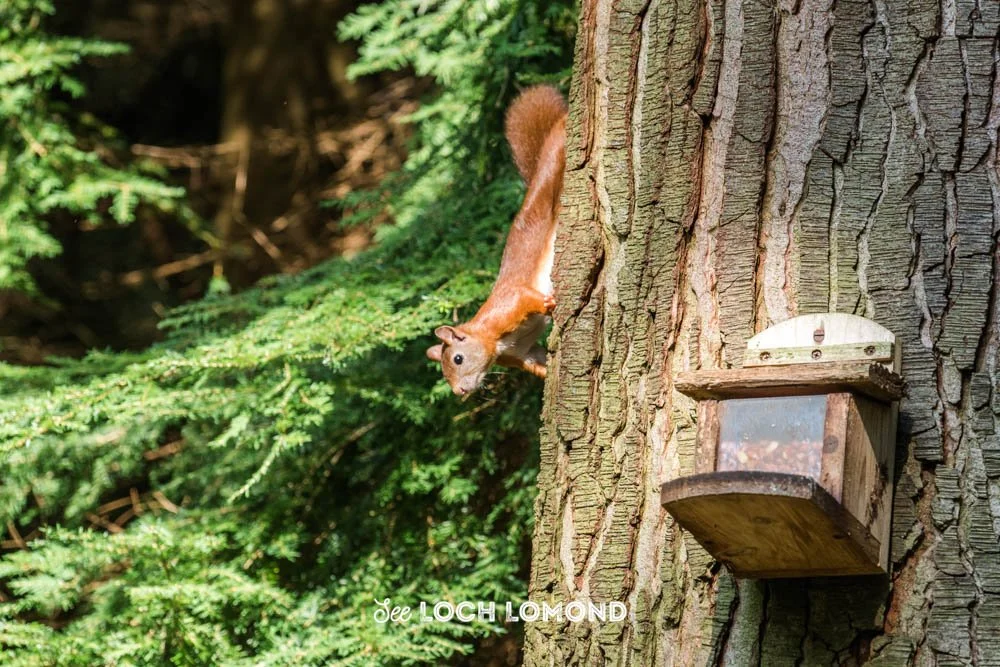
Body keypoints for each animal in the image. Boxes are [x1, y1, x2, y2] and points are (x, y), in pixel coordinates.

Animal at [427, 85, 567, 396]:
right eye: (443, 373)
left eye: (458, 358)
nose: (460, 393)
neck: (488, 334)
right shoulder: (521, 353)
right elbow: (538, 362)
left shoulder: (508, 305)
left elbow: (526, 296)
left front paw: (547, 304)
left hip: (553, 170)